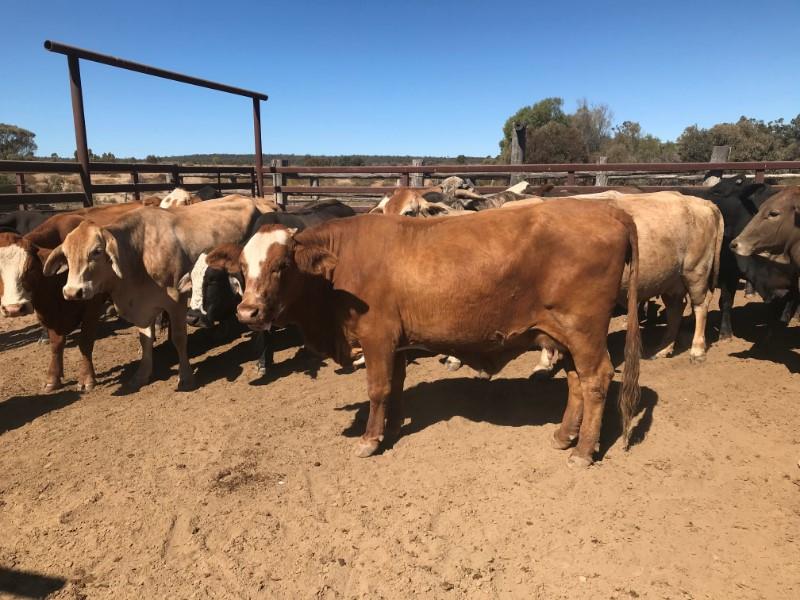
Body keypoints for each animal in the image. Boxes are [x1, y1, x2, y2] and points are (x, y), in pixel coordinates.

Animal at [0, 203, 143, 391]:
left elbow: (85, 341)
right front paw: (53, 378)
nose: (14, 309)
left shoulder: (92, 307)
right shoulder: (49, 313)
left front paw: (87, 378)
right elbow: (56, 344)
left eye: (30, 268)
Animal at [42, 195, 275, 390]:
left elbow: (179, 339)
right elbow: (145, 339)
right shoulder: (144, 307)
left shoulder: (177, 302)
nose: (72, 292)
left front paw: (186, 376)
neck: (139, 253)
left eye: (97, 251)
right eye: (66, 255)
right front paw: (142, 374)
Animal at [231, 201, 642, 468]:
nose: (247, 312)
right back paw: (564, 436)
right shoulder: (395, 344)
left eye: (282, 265)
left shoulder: (377, 337)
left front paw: (368, 440)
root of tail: (610, 211)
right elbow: (394, 387)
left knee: (596, 380)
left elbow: (377, 389)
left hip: (584, 330)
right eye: (242, 268)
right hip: (563, 333)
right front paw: (391, 427)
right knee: (576, 382)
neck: (338, 268)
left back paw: (583, 451)